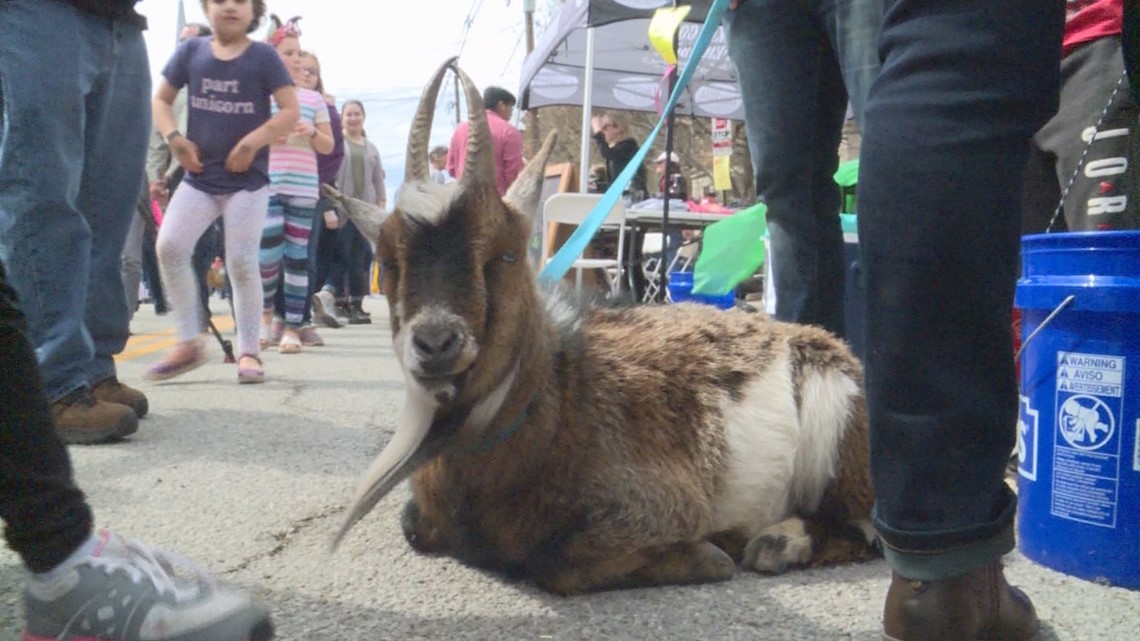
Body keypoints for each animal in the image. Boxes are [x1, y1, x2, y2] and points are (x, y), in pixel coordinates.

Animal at [329, 58, 878, 595]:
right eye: (388, 261)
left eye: (506, 254)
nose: (436, 342)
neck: (558, 395)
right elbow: (413, 525)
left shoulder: (656, 505)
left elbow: (557, 564)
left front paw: (705, 556)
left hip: (842, 429)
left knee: (865, 531)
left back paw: (777, 543)